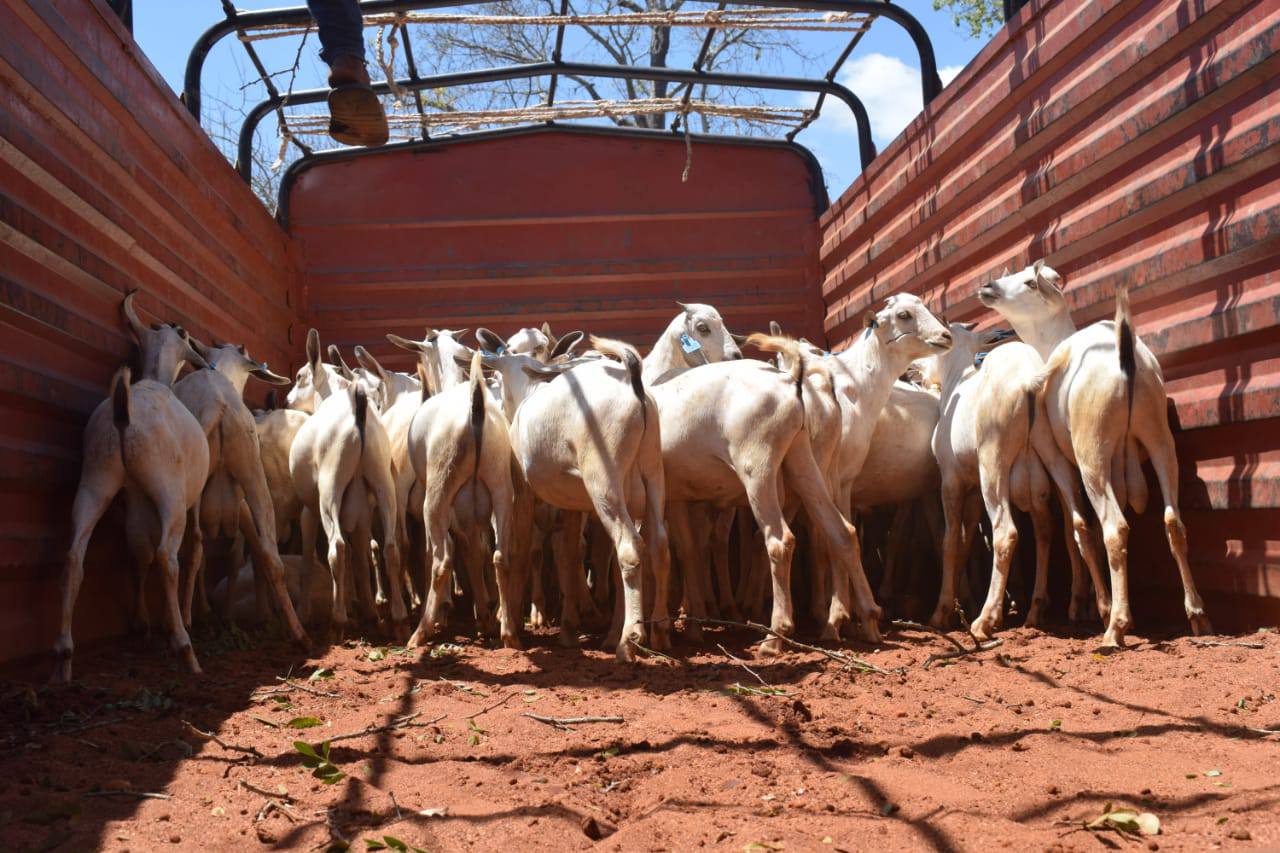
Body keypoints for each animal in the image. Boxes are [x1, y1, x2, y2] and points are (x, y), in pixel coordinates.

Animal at [54, 292, 210, 681]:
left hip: (97, 477)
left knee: (74, 555)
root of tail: (123, 414)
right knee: (167, 556)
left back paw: (64, 658)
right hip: (169, 493)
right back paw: (185, 649)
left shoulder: (135, 498)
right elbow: (175, 549)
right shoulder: (187, 496)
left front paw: (141, 626)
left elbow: (136, 551)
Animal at [978, 262, 1211, 645]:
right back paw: (1196, 615)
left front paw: (1088, 607)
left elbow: (1077, 529)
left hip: (1092, 456)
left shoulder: (1066, 467)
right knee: (1172, 522)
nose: (988, 287)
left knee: (1114, 527)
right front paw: (1090, 603)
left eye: (1029, 282)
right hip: (1160, 441)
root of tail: (1124, 356)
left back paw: (1116, 626)